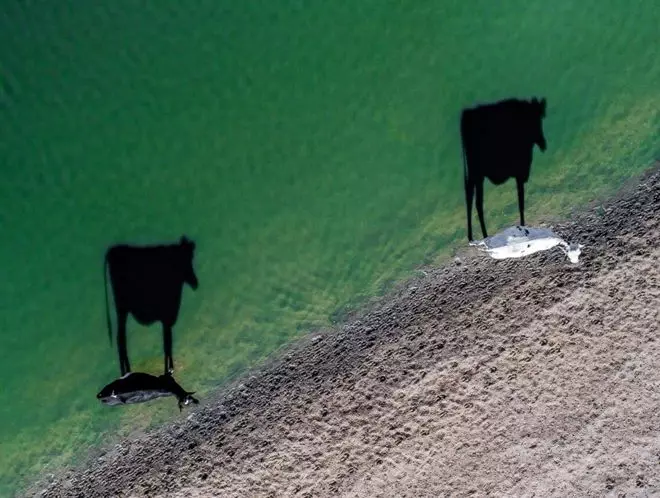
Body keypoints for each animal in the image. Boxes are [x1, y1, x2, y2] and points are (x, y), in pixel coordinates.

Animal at [103, 235, 199, 376]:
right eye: (184, 260)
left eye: (190, 258)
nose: (195, 282)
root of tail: (113, 250)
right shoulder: (167, 316)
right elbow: (167, 344)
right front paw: (169, 370)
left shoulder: (168, 318)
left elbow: (168, 343)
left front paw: (170, 368)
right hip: (122, 308)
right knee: (121, 340)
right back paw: (126, 372)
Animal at [458, 97, 548, 241]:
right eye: (533, 120)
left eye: (540, 119)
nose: (543, 143)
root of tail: (466, 114)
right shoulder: (520, 171)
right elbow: (521, 200)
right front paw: (523, 225)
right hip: (477, 173)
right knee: (477, 202)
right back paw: (484, 235)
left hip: (473, 174)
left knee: (469, 197)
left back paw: (471, 236)